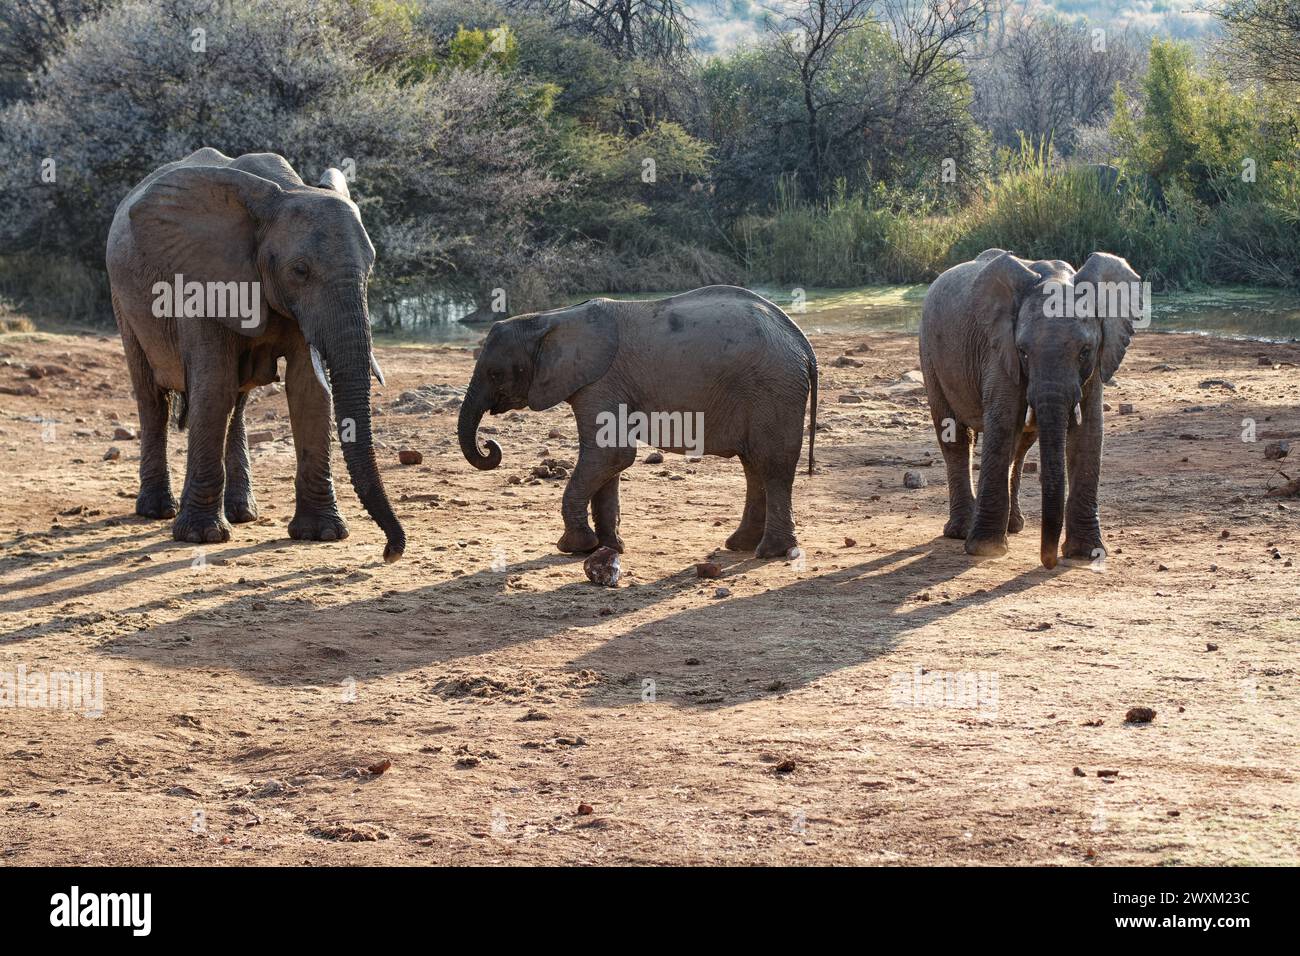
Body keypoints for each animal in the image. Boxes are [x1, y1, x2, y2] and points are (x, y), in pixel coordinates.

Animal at [105, 148, 404, 561]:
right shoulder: (203, 278)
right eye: (300, 270)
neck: (284, 192)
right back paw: (157, 511)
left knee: (237, 403)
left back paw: (242, 512)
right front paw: (201, 537)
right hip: (123, 301)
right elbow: (213, 385)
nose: (390, 551)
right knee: (153, 398)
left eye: (371, 266)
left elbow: (308, 389)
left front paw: (321, 534)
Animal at [458, 286, 818, 559]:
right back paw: (740, 545)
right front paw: (605, 548)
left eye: (495, 373)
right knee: (752, 464)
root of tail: (802, 342)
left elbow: (611, 454)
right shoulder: (600, 385)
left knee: (771, 463)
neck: (550, 318)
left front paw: (573, 547)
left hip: (773, 388)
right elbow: (609, 460)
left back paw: (770, 553)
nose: (490, 445)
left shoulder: (599, 382)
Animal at [919, 249, 1139, 568]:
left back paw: (1013, 527)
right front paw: (985, 549)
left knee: (1020, 446)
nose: (1049, 562)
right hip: (929, 354)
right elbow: (1003, 422)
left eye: (1085, 351)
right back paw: (961, 531)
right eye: (1023, 351)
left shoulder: (1096, 363)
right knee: (956, 437)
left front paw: (1086, 554)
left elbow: (1088, 430)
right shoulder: (999, 351)